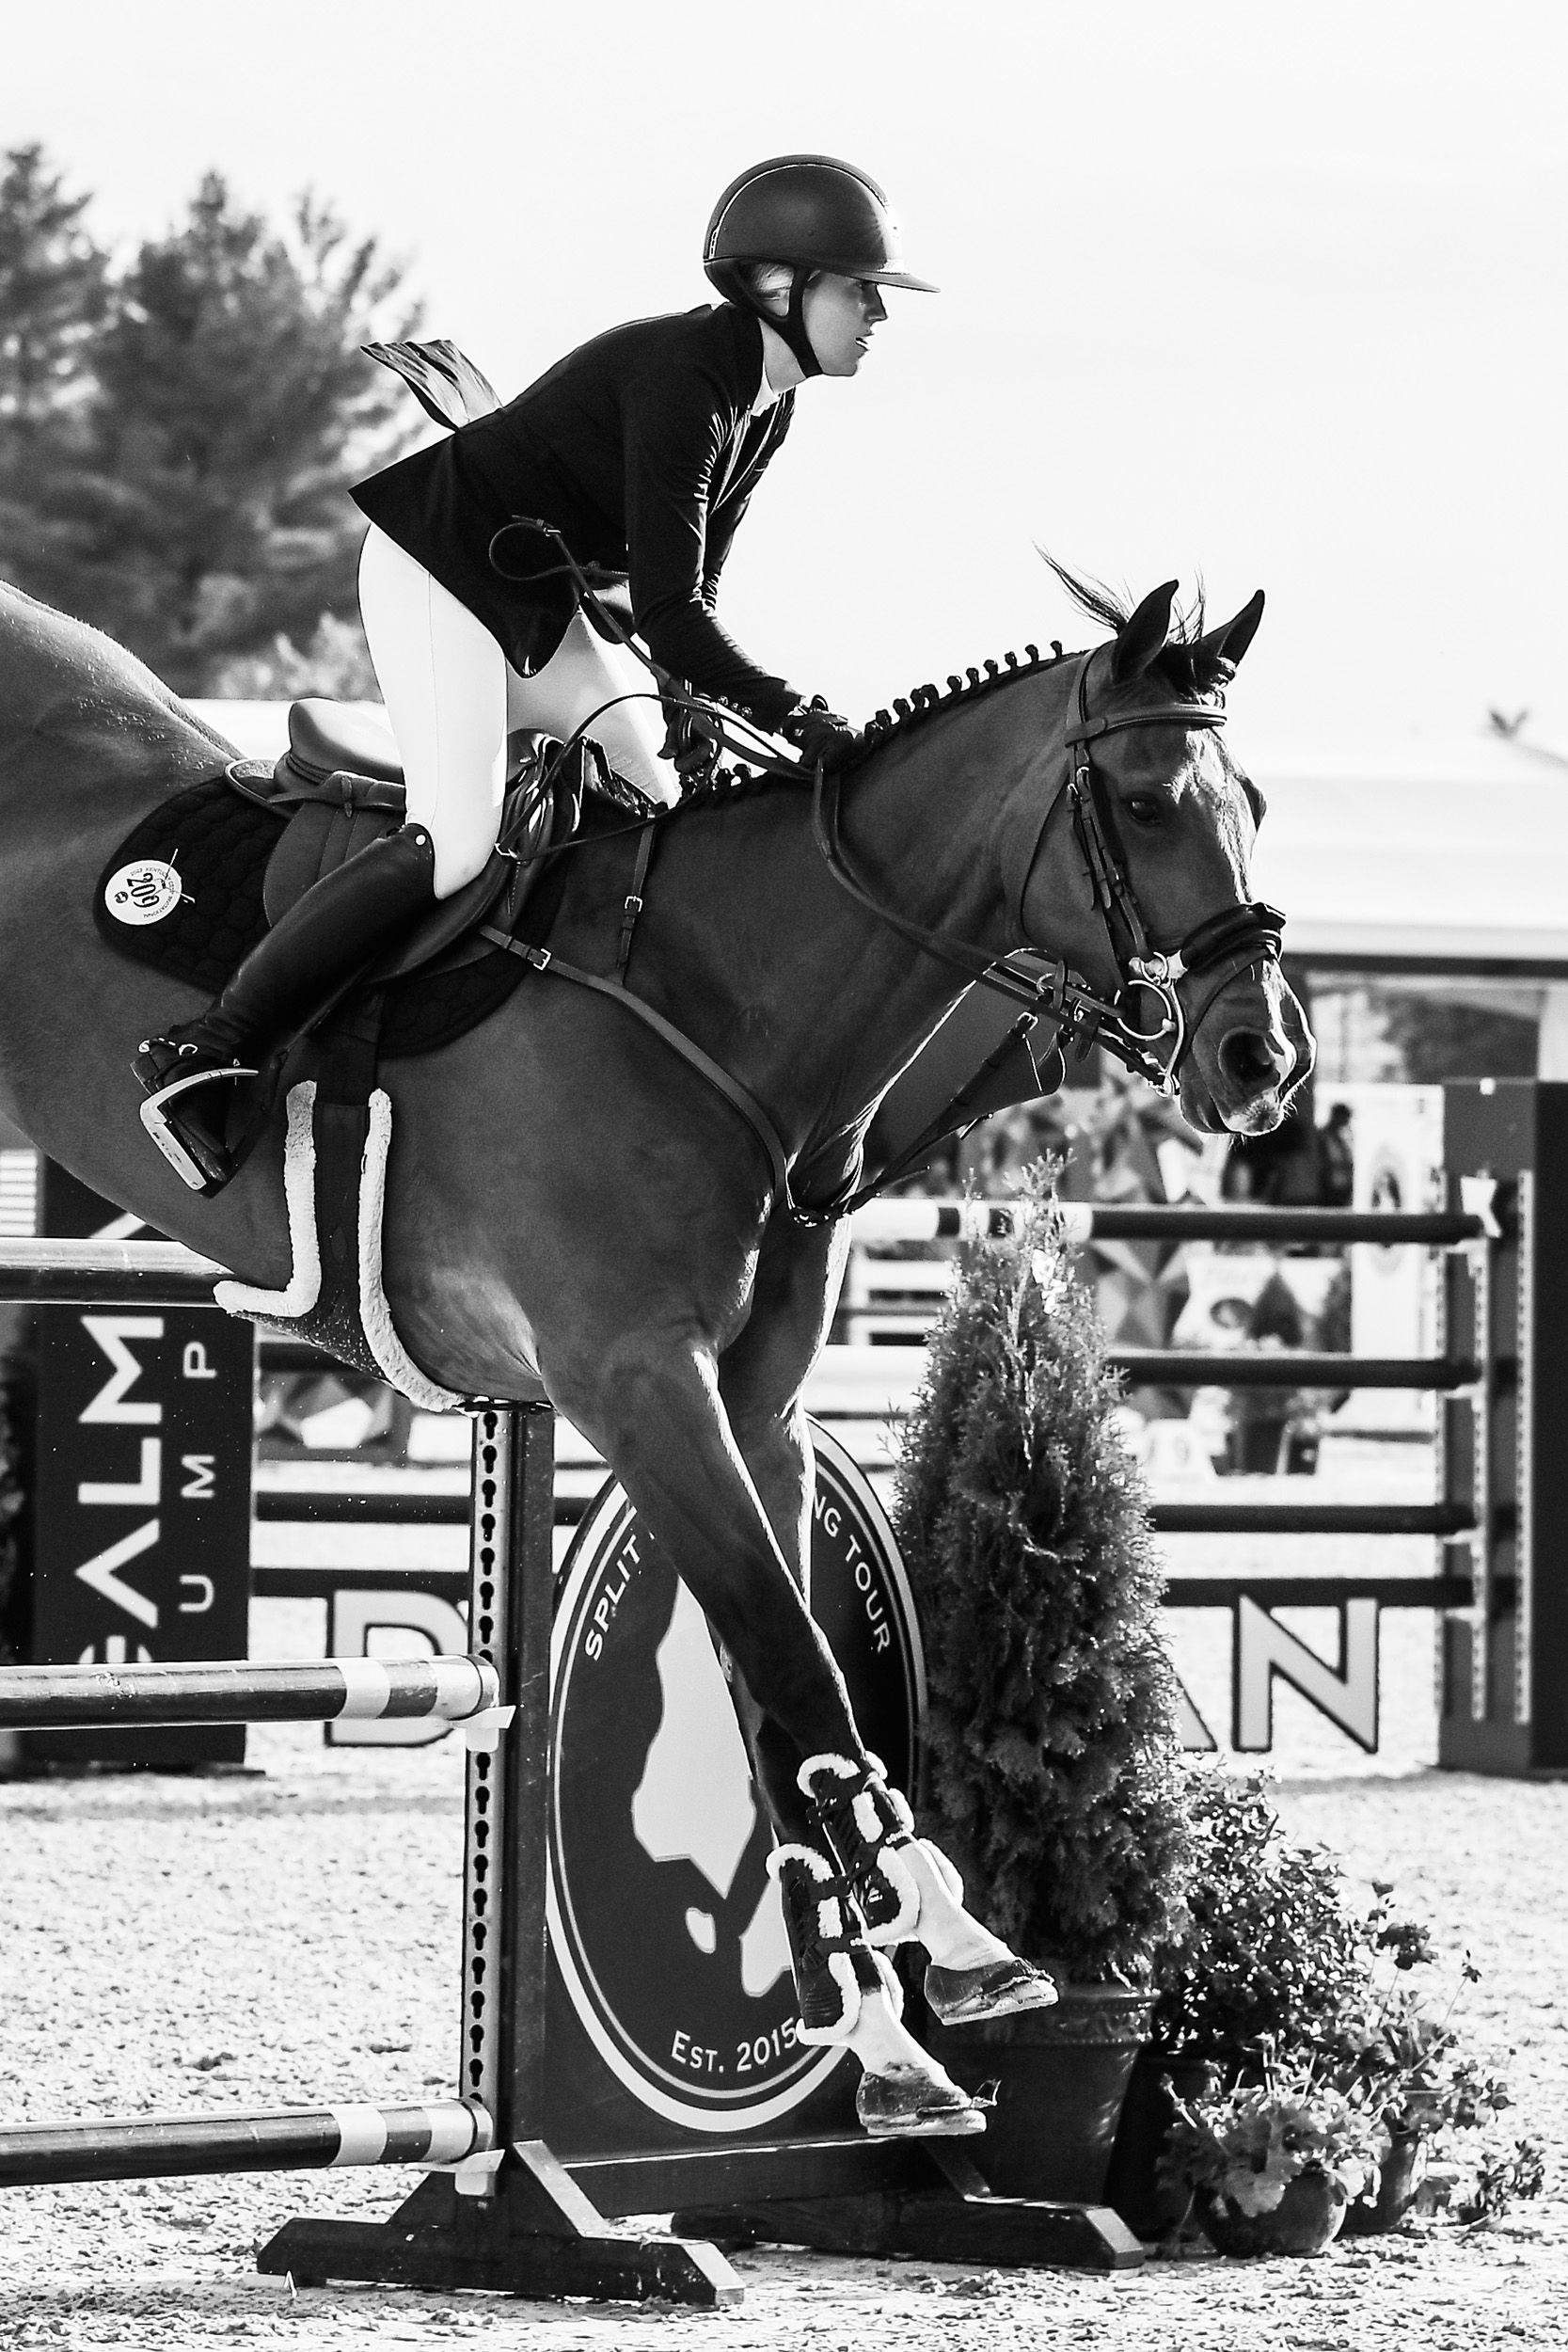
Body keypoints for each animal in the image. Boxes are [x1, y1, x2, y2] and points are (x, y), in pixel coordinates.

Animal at [0, 567, 1311, 2129]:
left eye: (1255, 797)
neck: (726, 1014)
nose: (1262, 1060)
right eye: (1151, 803)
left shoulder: (754, 1407)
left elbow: (773, 1685)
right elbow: (791, 1659)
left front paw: (876, 2025)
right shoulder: (636, 1383)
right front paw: (936, 1944)